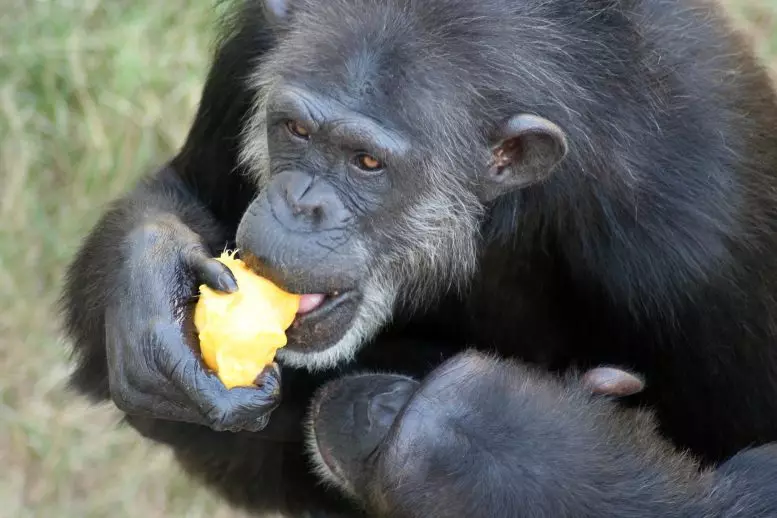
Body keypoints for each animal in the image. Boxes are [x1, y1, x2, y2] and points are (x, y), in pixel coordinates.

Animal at [62, 0, 777, 516]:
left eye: (367, 163)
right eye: (295, 129)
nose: (299, 204)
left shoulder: (696, 235)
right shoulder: (251, 47)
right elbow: (185, 193)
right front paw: (149, 297)